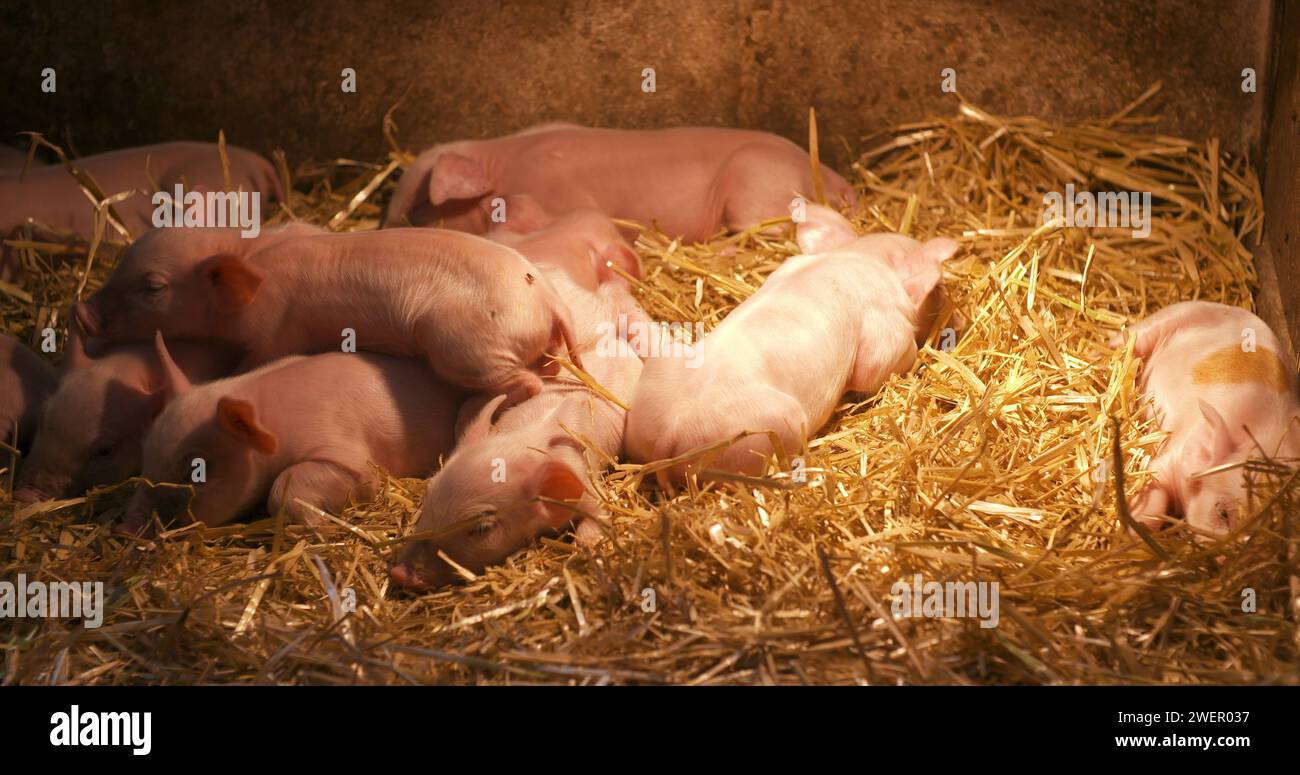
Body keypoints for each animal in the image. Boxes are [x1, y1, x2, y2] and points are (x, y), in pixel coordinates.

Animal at [74, 226, 579, 401]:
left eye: (152, 288)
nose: (79, 310)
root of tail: (550, 300)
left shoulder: (277, 333)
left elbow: (252, 363)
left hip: (465, 347)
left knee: (527, 383)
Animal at [123, 337, 463, 531]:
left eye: (195, 471)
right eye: (146, 457)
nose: (126, 527)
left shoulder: (345, 454)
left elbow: (284, 485)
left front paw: (320, 526)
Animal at [390, 268, 645, 589]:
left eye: (482, 527)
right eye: (428, 491)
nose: (400, 574)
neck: (521, 443)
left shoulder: (587, 485)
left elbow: (600, 511)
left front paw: (583, 551)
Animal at [624, 205, 958, 489]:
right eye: (938, 288)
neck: (860, 258)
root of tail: (672, 432)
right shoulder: (884, 334)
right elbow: (874, 371)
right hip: (772, 427)